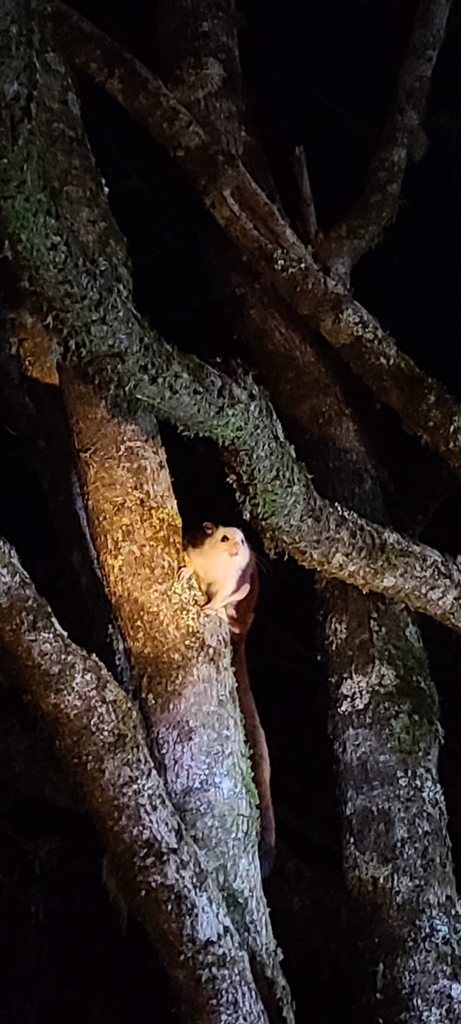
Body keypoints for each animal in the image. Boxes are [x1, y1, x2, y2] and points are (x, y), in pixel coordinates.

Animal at [180, 523, 275, 877]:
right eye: (224, 538)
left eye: (243, 541)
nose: (237, 549)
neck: (220, 565)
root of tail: (243, 636)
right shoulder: (199, 553)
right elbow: (190, 558)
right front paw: (186, 568)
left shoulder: (236, 579)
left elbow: (230, 591)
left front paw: (211, 606)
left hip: (244, 613)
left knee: (237, 603)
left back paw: (221, 614)